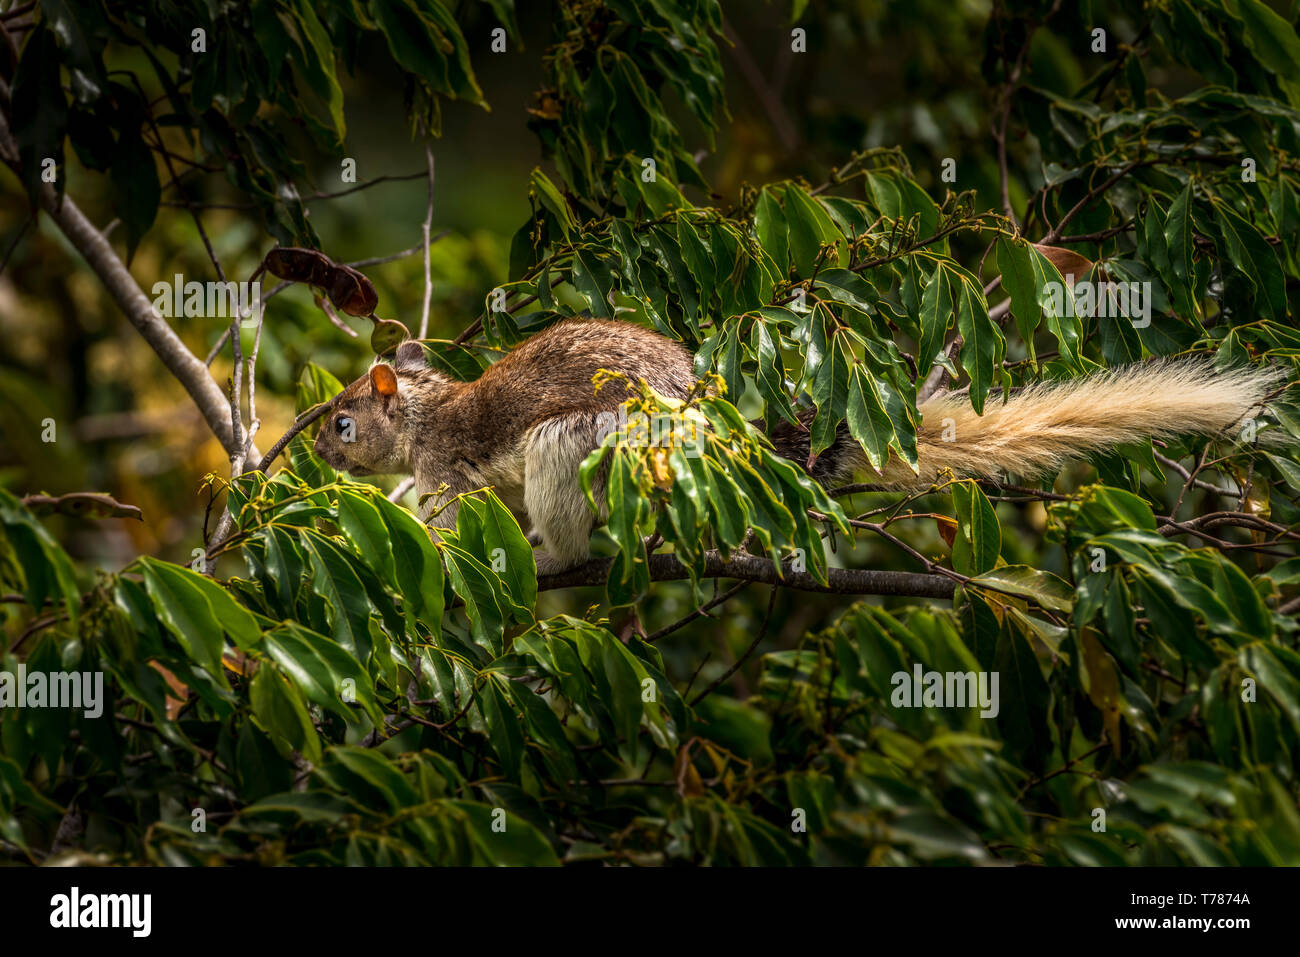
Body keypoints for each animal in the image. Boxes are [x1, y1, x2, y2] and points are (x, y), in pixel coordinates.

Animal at [313, 317, 1278, 573]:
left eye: (343, 421)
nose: (317, 452)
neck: (428, 411)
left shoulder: (448, 468)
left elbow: (440, 520)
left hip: (579, 440)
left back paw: (556, 556)